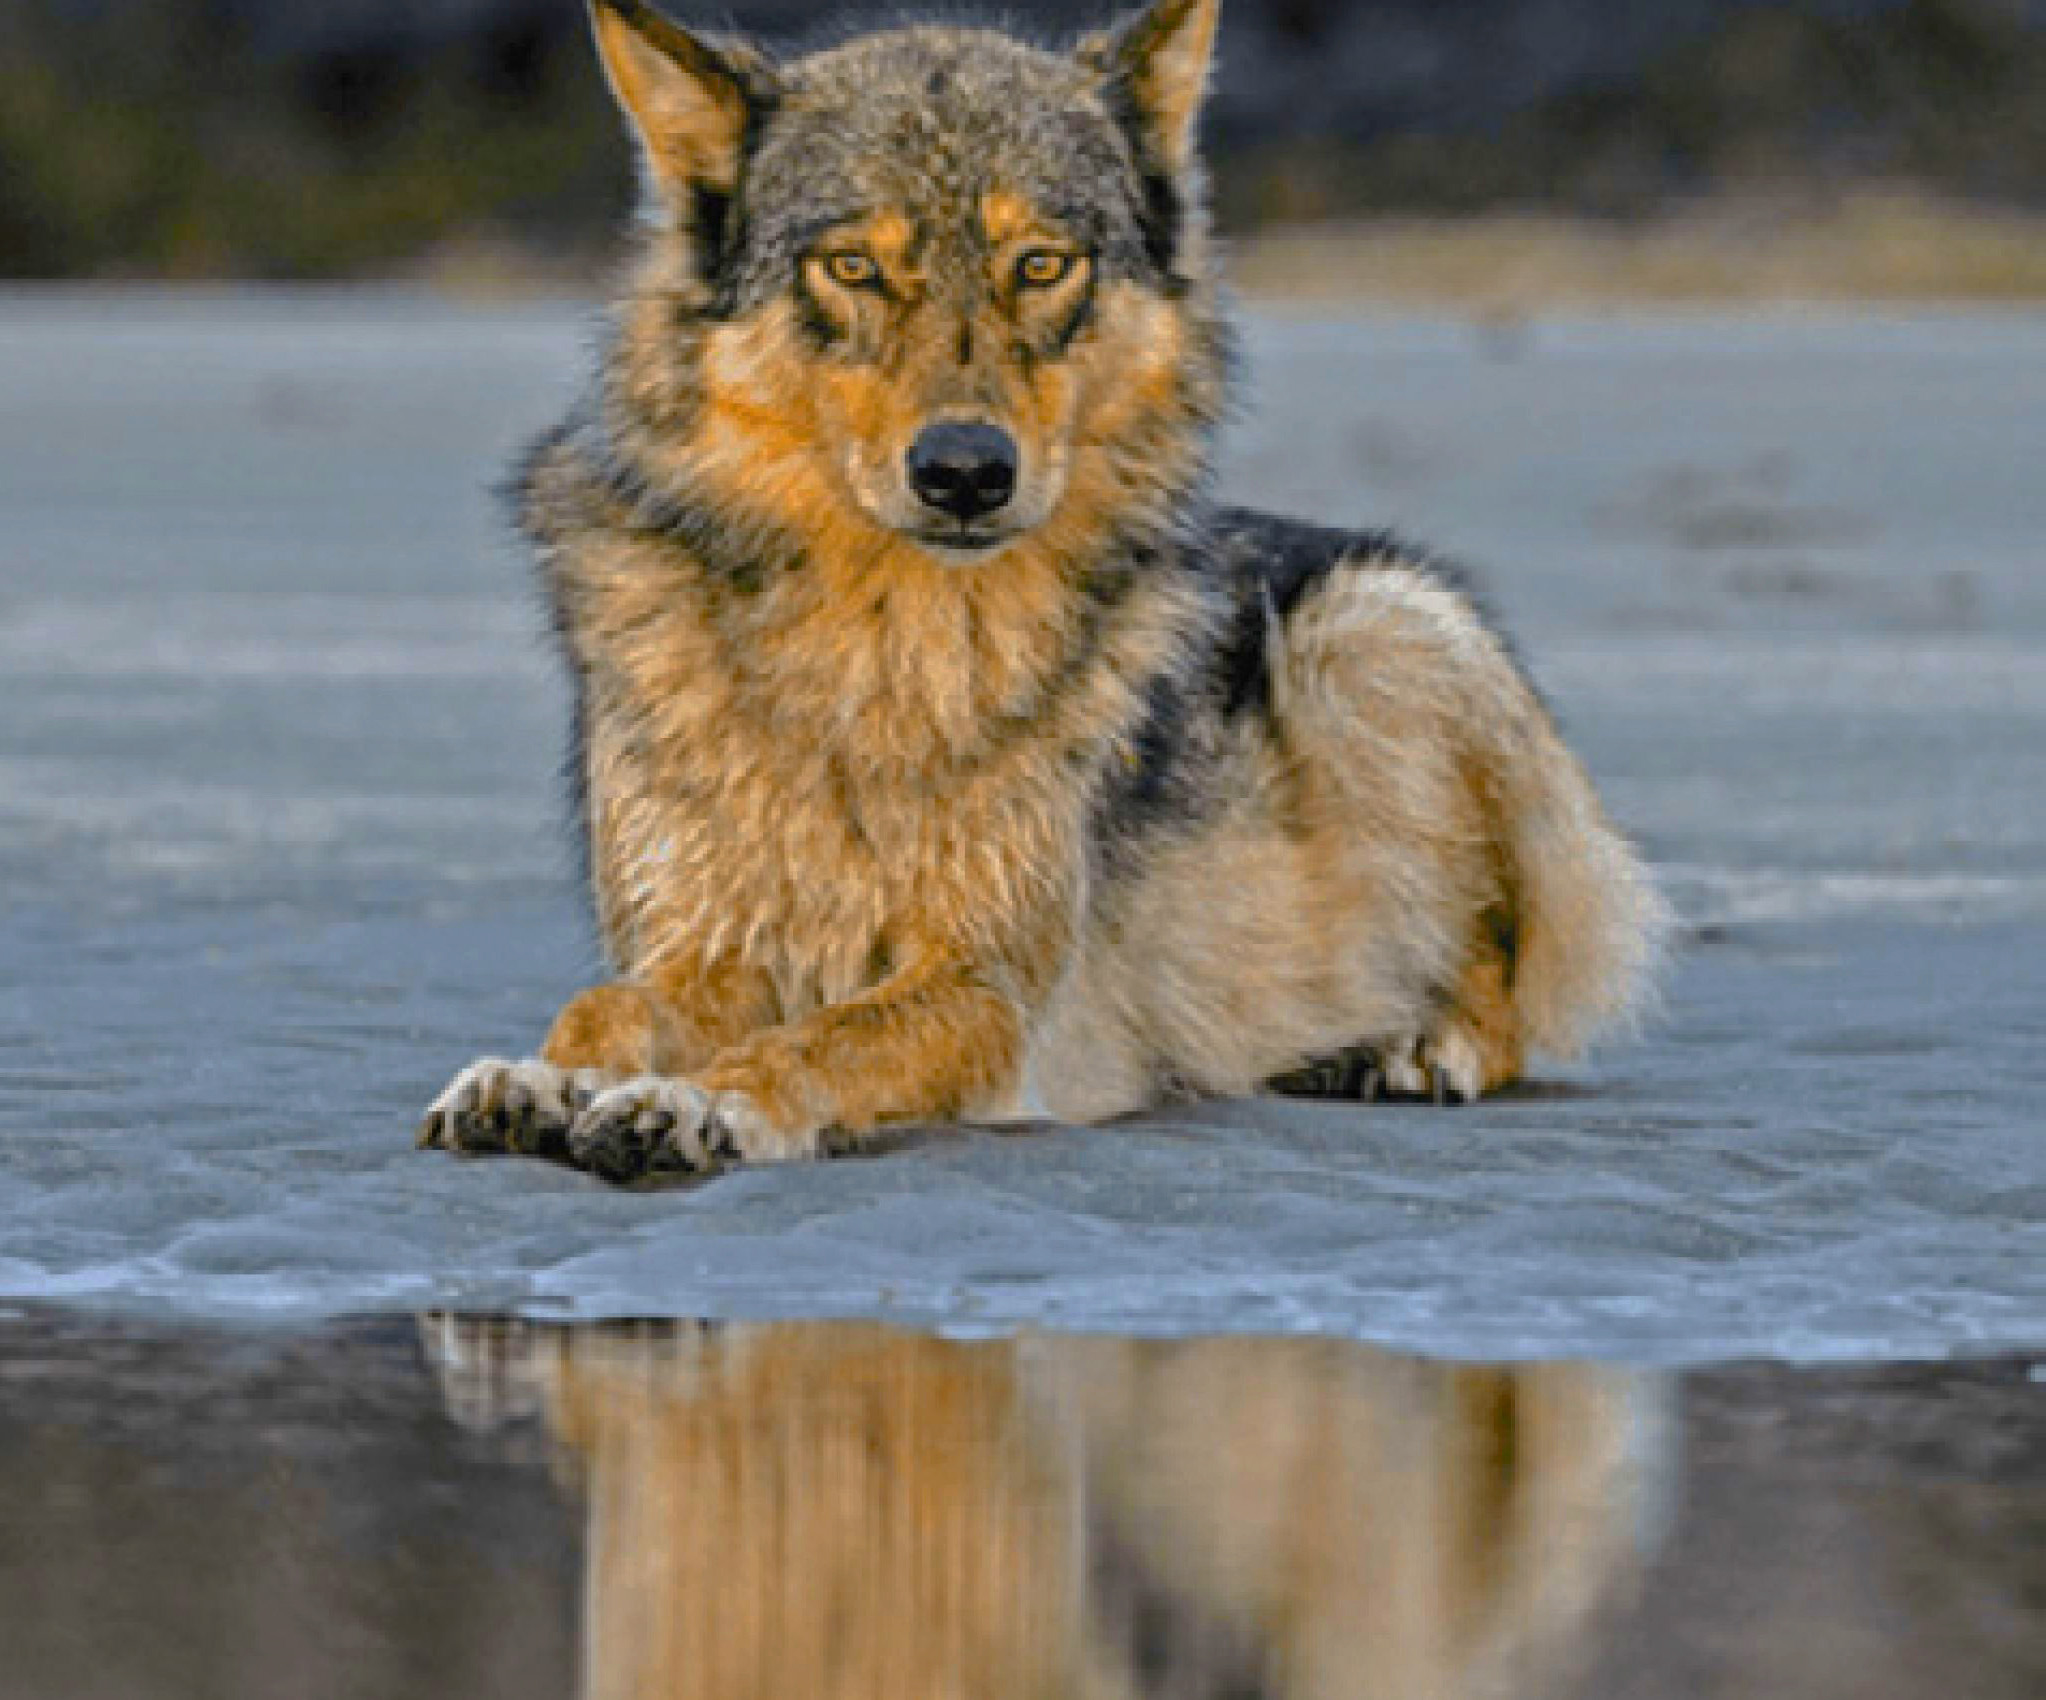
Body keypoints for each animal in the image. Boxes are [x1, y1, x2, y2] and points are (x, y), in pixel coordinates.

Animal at [418, 0, 1667, 1182]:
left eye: (1040, 264)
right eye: (855, 267)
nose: (967, 470)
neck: (879, 650)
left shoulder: (987, 984)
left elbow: (822, 1039)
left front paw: (704, 1100)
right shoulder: (702, 946)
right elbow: (606, 1005)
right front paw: (541, 1077)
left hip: (1370, 624)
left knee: (1508, 972)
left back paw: (1412, 1043)